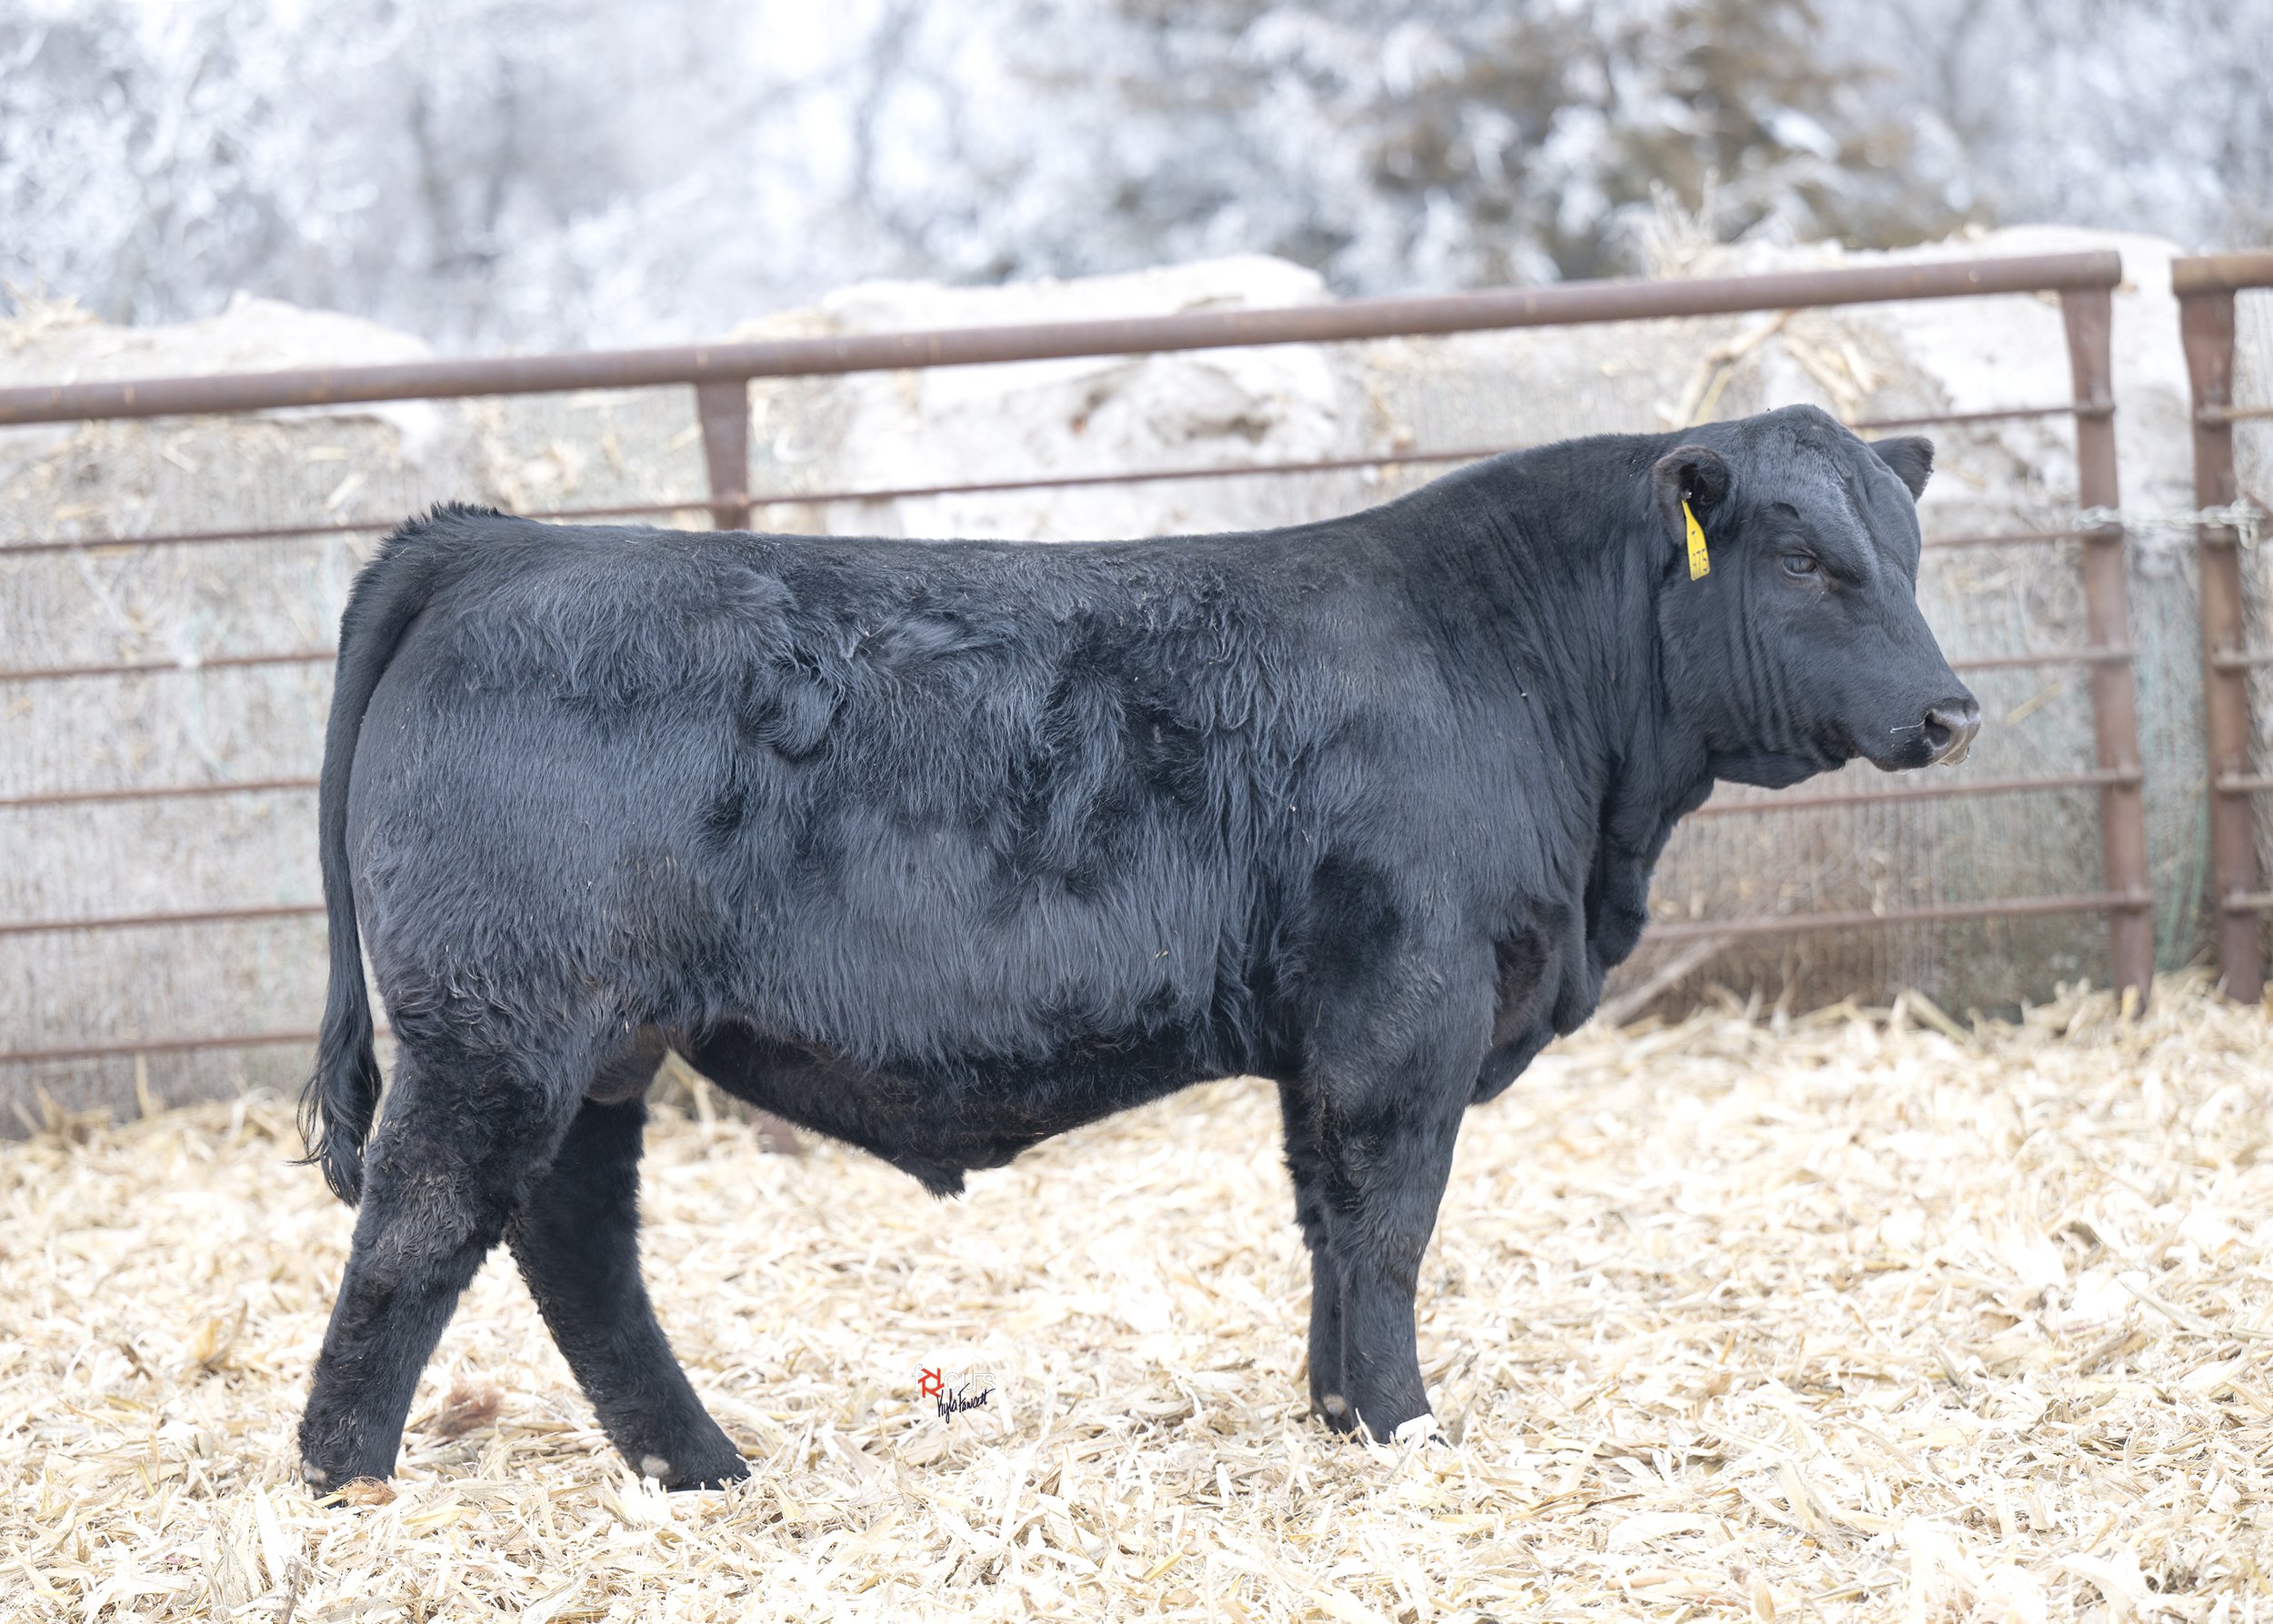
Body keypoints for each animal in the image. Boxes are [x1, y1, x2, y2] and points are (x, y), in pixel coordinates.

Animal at [294, 403, 1976, 1492]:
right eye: (1807, 559)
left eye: (1905, 550)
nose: (1952, 709)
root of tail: (491, 545)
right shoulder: (1406, 1005)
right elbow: (1389, 1218)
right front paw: (1407, 1428)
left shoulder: (1322, 1030)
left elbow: (1325, 1220)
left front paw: (1338, 1411)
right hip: (503, 1023)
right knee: (422, 1227)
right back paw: (346, 1480)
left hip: (596, 1042)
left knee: (574, 1239)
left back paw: (698, 1465)